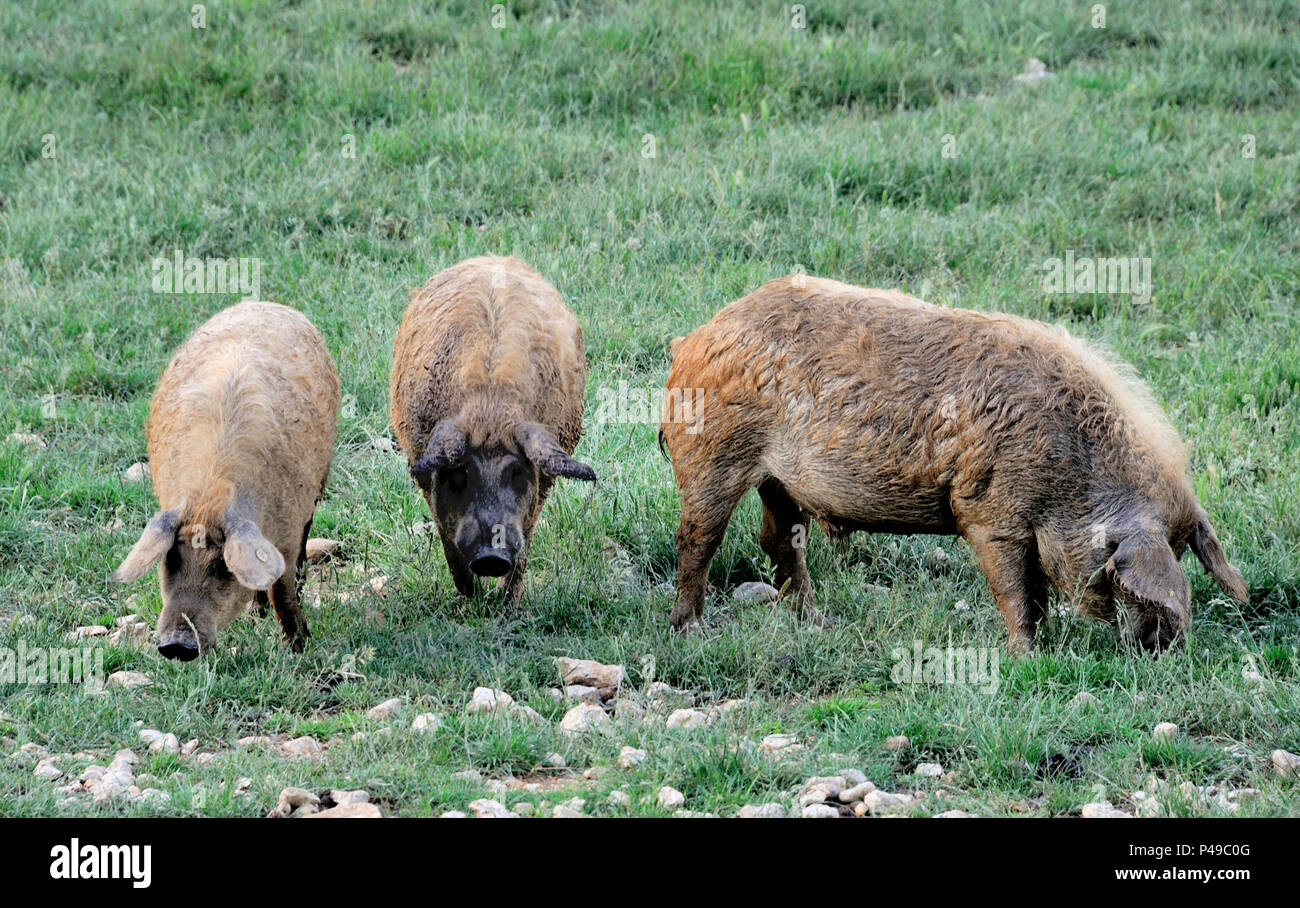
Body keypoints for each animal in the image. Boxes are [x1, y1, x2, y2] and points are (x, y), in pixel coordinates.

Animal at [111, 301, 339, 660]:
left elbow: (283, 591)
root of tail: (264, 303)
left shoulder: (287, 532)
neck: (208, 499)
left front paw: (299, 647)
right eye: (170, 560)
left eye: (222, 566)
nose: (176, 644)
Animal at [389, 256, 595, 601]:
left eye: (516, 472)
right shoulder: (425, 470)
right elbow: (449, 545)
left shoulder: (542, 476)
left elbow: (526, 536)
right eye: (461, 472)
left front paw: (505, 602)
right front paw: (473, 599)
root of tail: (493, 258)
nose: (491, 556)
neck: (490, 408)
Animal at [660, 275, 1247, 652]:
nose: (1162, 646)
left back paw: (821, 623)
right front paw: (1026, 655)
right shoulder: (989, 513)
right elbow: (1016, 590)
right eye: (1120, 574)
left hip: (779, 482)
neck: (1073, 471)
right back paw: (690, 632)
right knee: (697, 538)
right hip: (713, 454)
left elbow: (1036, 590)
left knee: (778, 540)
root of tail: (693, 339)